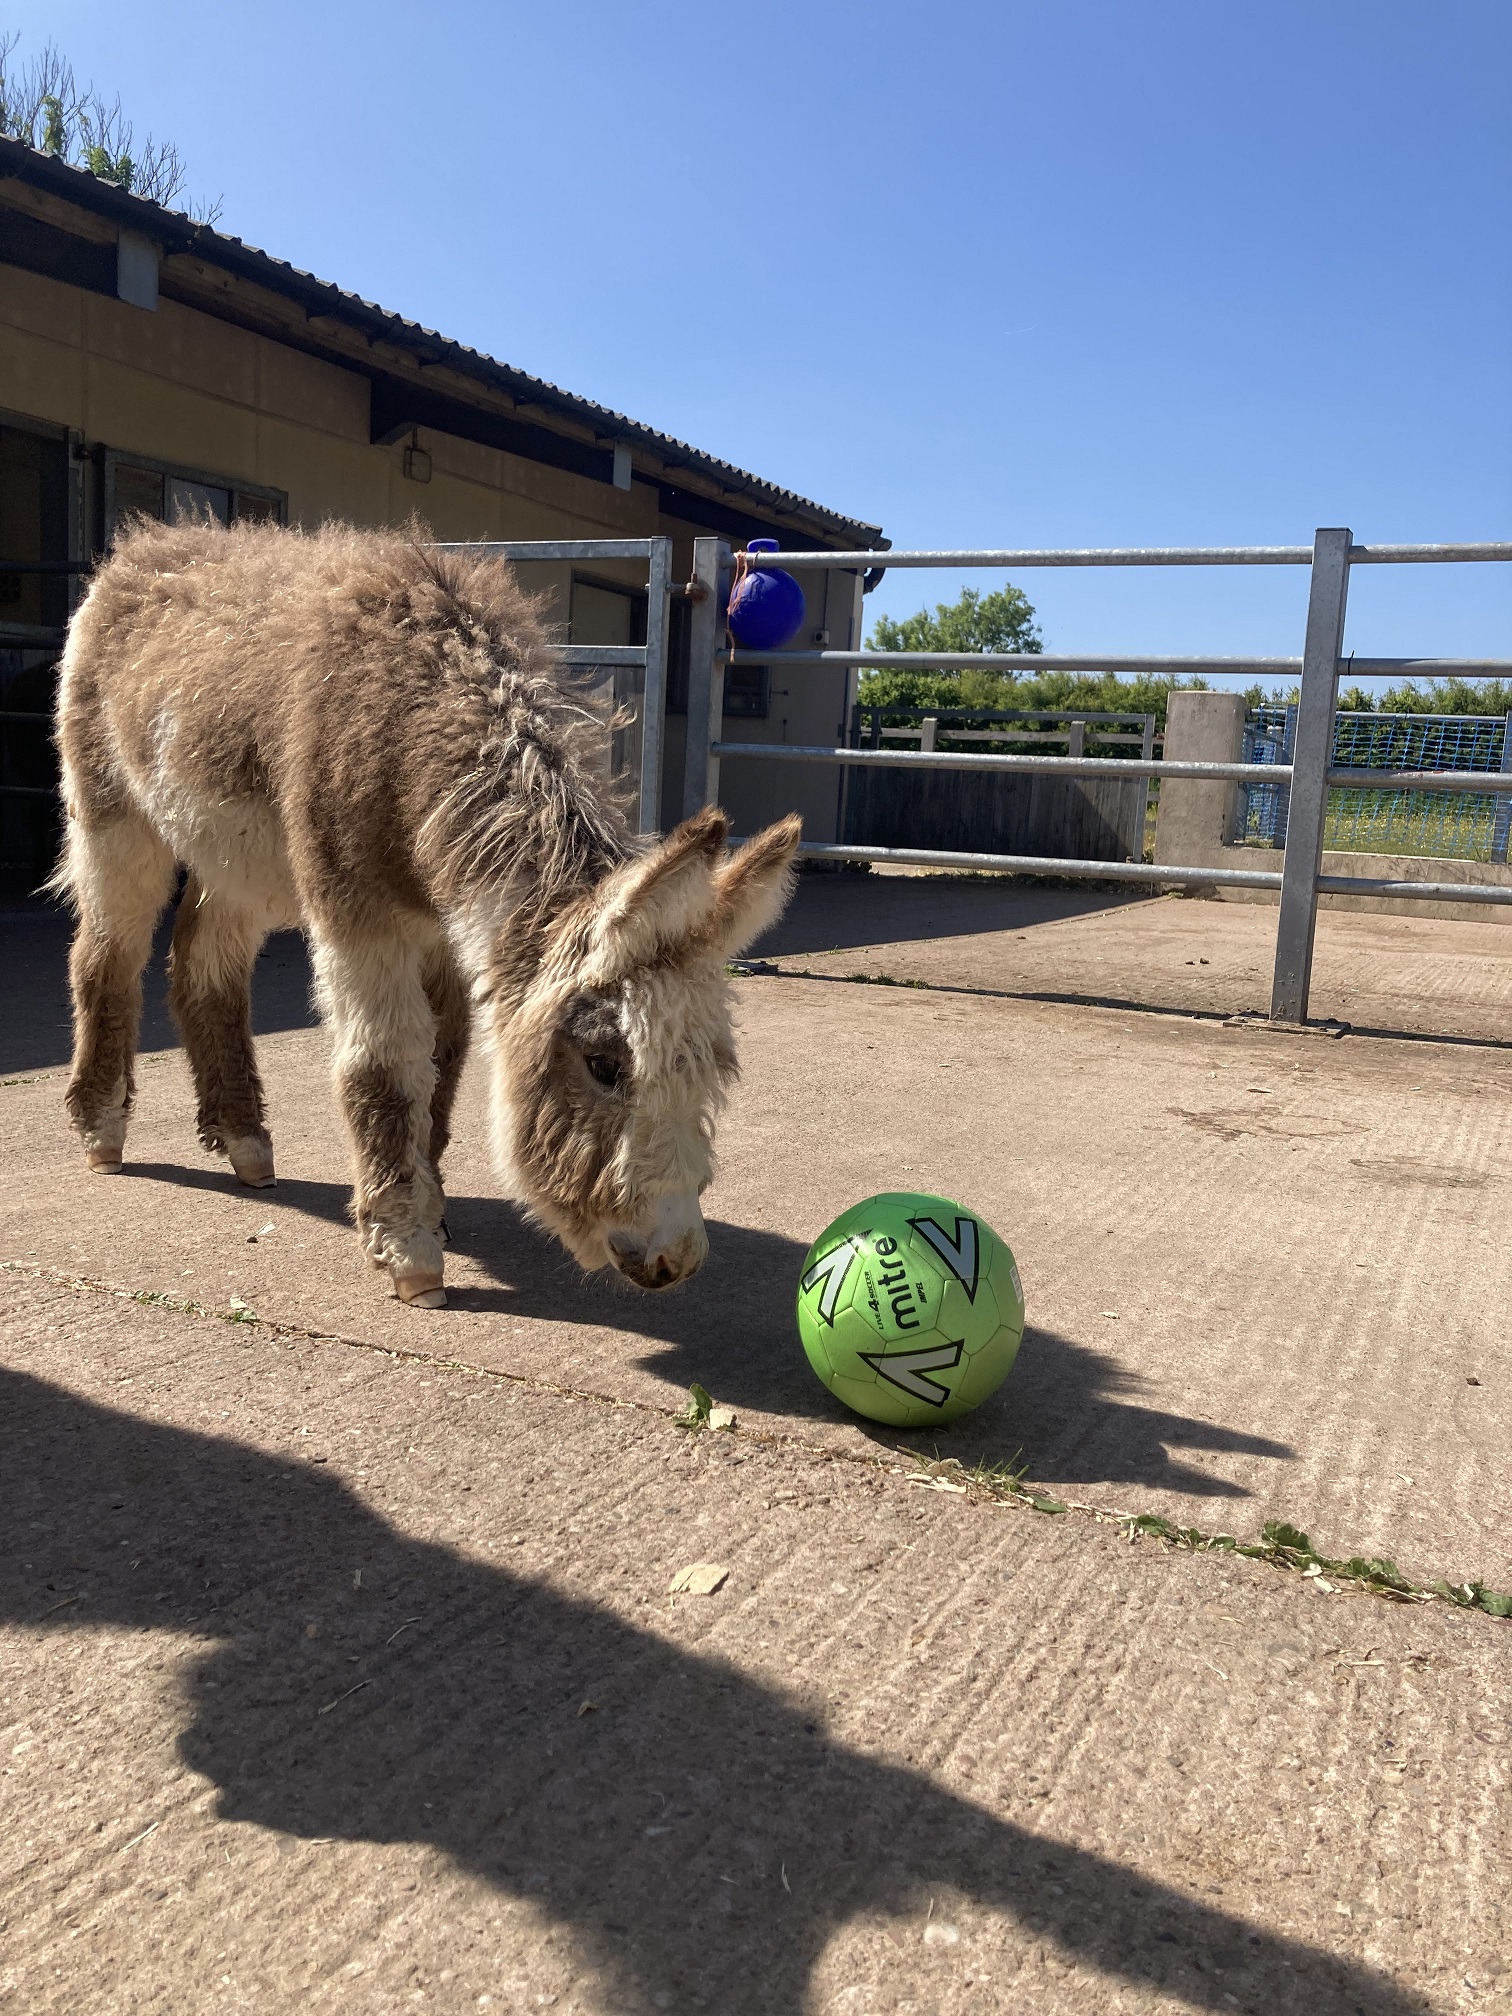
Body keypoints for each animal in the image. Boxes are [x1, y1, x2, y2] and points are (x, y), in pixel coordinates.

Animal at [50, 518, 800, 1307]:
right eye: (603, 1065)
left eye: (713, 1072)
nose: (672, 1262)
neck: (418, 715)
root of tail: (140, 548)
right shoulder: (357, 916)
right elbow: (381, 1067)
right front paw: (408, 1250)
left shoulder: (448, 926)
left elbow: (443, 1059)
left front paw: (432, 1209)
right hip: (115, 816)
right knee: (105, 957)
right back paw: (101, 1134)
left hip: (234, 856)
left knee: (202, 965)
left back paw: (246, 1144)